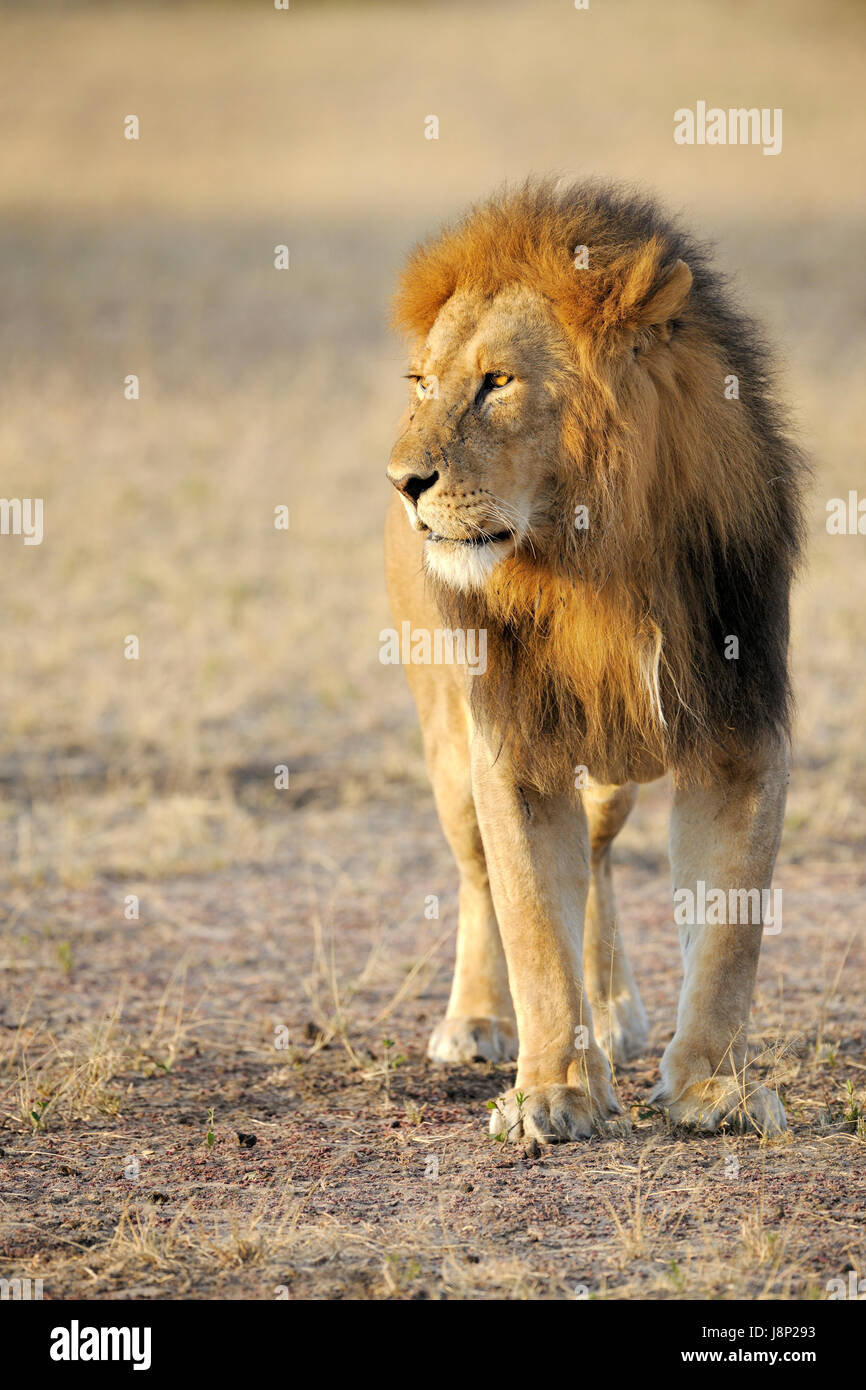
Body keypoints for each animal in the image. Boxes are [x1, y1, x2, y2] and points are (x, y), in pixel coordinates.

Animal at [384, 180, 805, 1144]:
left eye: (498, 382)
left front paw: (712, 1087)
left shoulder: (741, 731)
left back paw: (613, 1012)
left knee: (603, 858)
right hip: (448, 746)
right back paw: (478, 1021)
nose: (402, 483)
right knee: (478, 877)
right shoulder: (510, 745)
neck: (597, 562)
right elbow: (532, 922)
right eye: (422, 385)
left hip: (617, 767)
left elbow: (729, 933)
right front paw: (553, 1091)